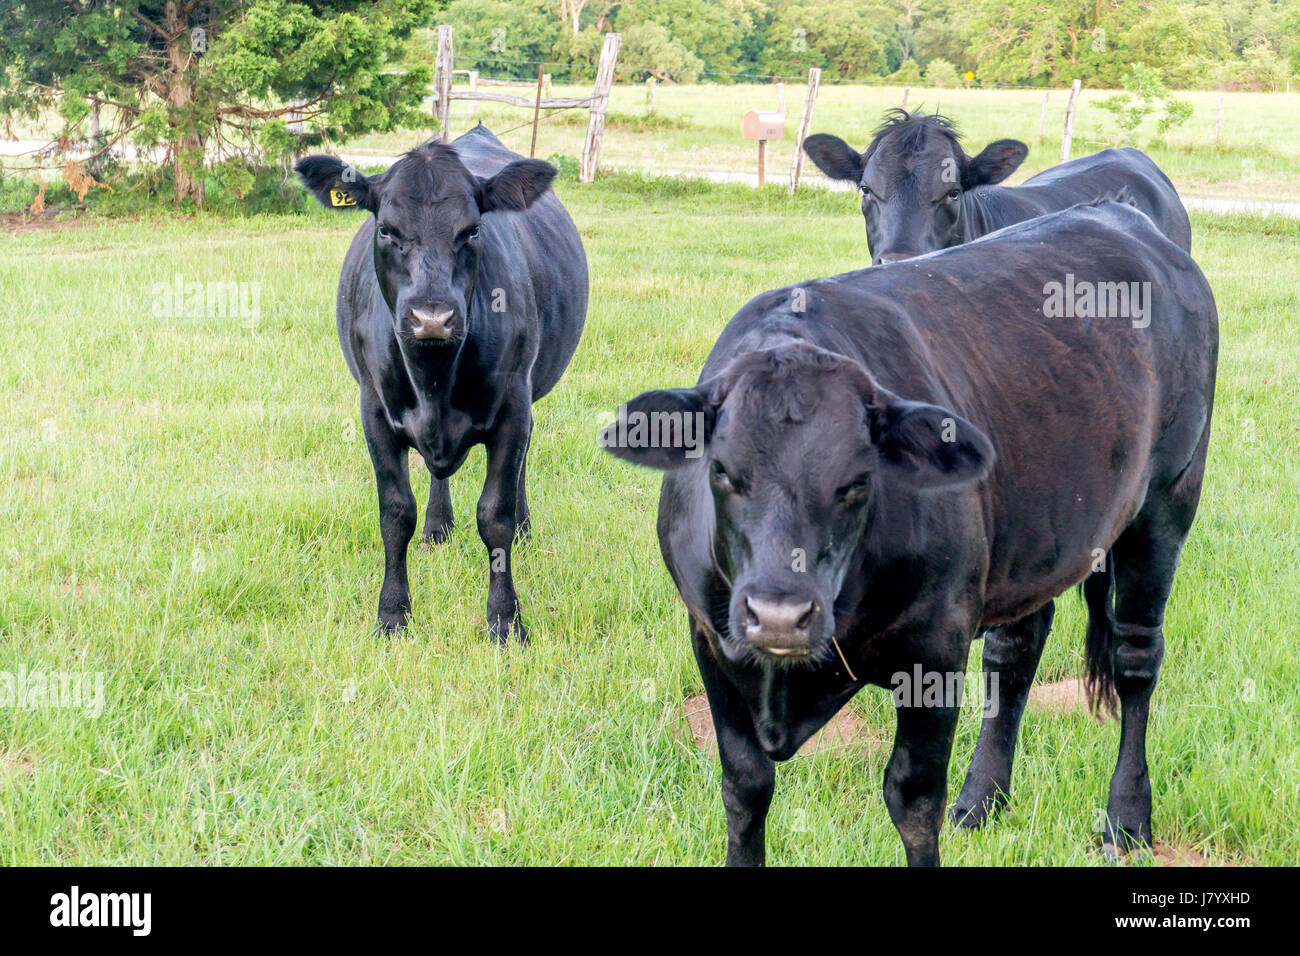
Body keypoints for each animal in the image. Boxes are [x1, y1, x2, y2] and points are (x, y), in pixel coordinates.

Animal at [295, 125, 588, 642]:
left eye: (472, 230)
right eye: (386, 229)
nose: (431, 316)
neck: (434, 378)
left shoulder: (514, 408)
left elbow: (495, 517)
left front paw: (505, 621)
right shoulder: (373, 412)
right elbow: (395, 514)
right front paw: (392, 615)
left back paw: (525, 527)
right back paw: (438, 527)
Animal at [601, 201, 1217, 865]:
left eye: (857, 480)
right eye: (720, 469)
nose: (779, 616)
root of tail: (1120, 214)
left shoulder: (936, 644)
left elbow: (913, 798)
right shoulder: (710, 640)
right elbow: (744, 787)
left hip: (1166, 505)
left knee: (1136, 660)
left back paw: (1127, 819)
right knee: (1016, 651)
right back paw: (983, 799)